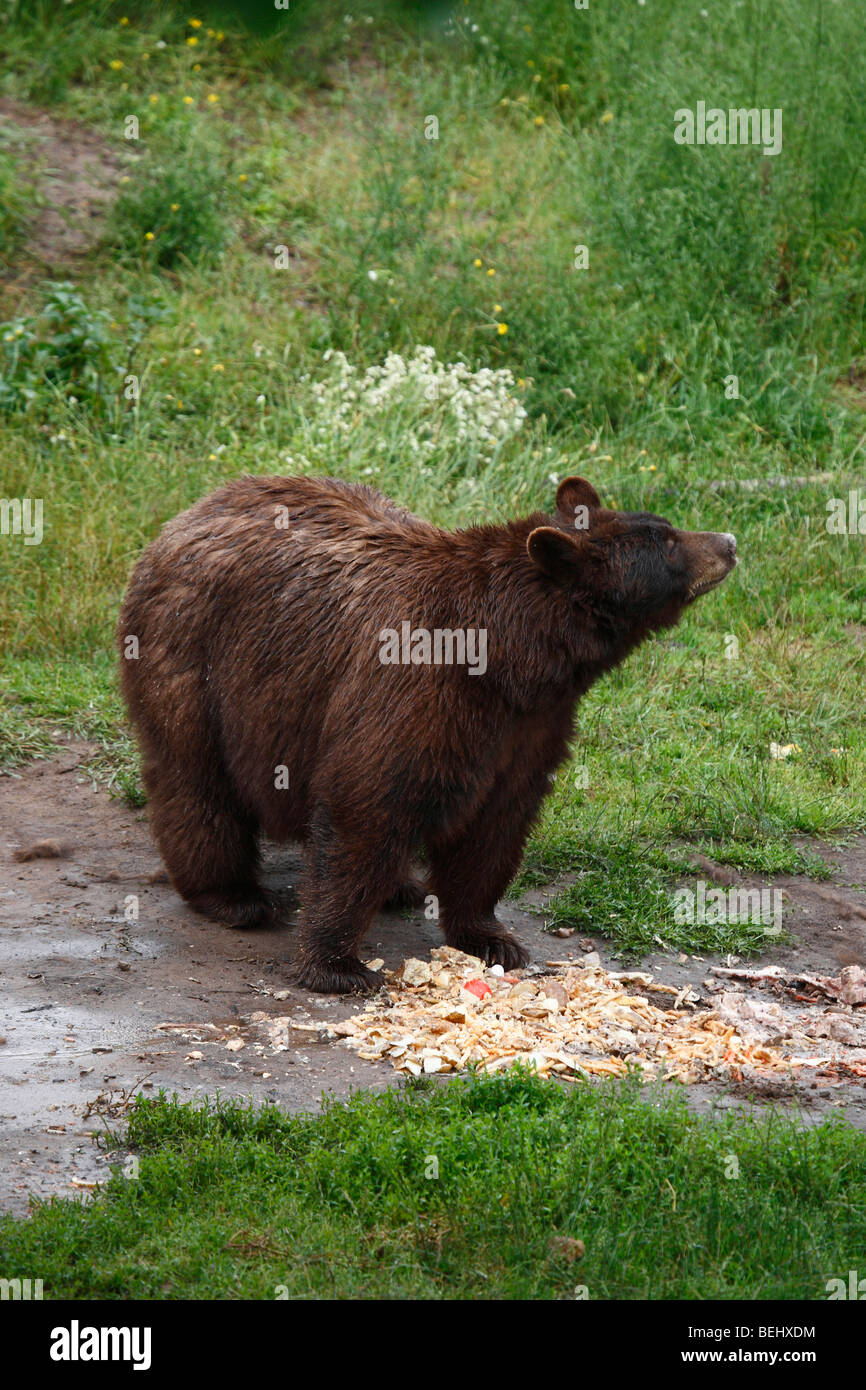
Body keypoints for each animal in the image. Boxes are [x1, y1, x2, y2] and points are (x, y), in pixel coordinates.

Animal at [117, 474, 737, 994]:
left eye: (666, 527)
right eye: (667, 543)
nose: (729, 541)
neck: (511, 657)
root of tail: (193, 509)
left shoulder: (530, 727)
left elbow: (497, 823)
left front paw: (490, 937)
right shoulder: (418, 691)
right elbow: (367, 804)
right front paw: (337, 965)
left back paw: (400, 886)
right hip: (194, 657)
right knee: (195, 782)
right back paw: (233, 896)